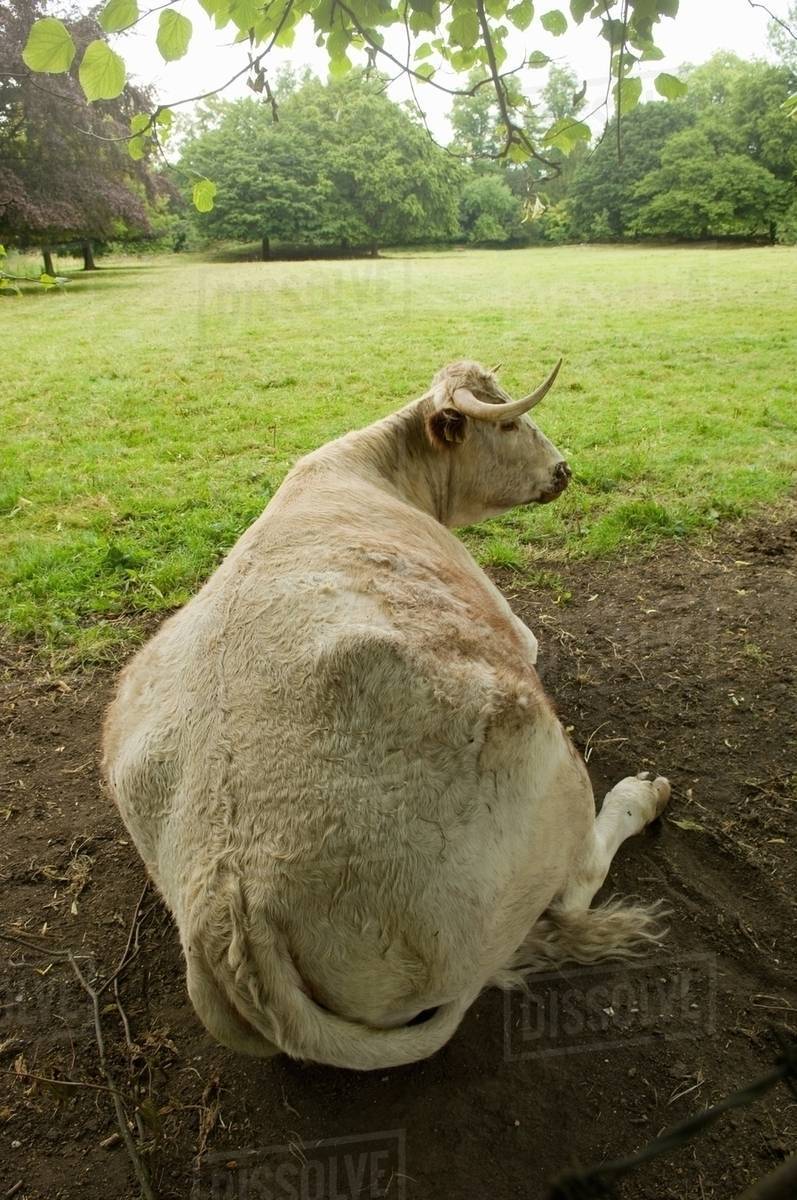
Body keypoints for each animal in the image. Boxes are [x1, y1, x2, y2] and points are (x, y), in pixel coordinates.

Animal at [102, 359, 670, 1071]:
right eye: (510, 423)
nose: (564, 469)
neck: (380, 472)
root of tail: (228, 908)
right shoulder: (517, 629)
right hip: (549, 769)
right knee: (575, 881)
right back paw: (642, 796)